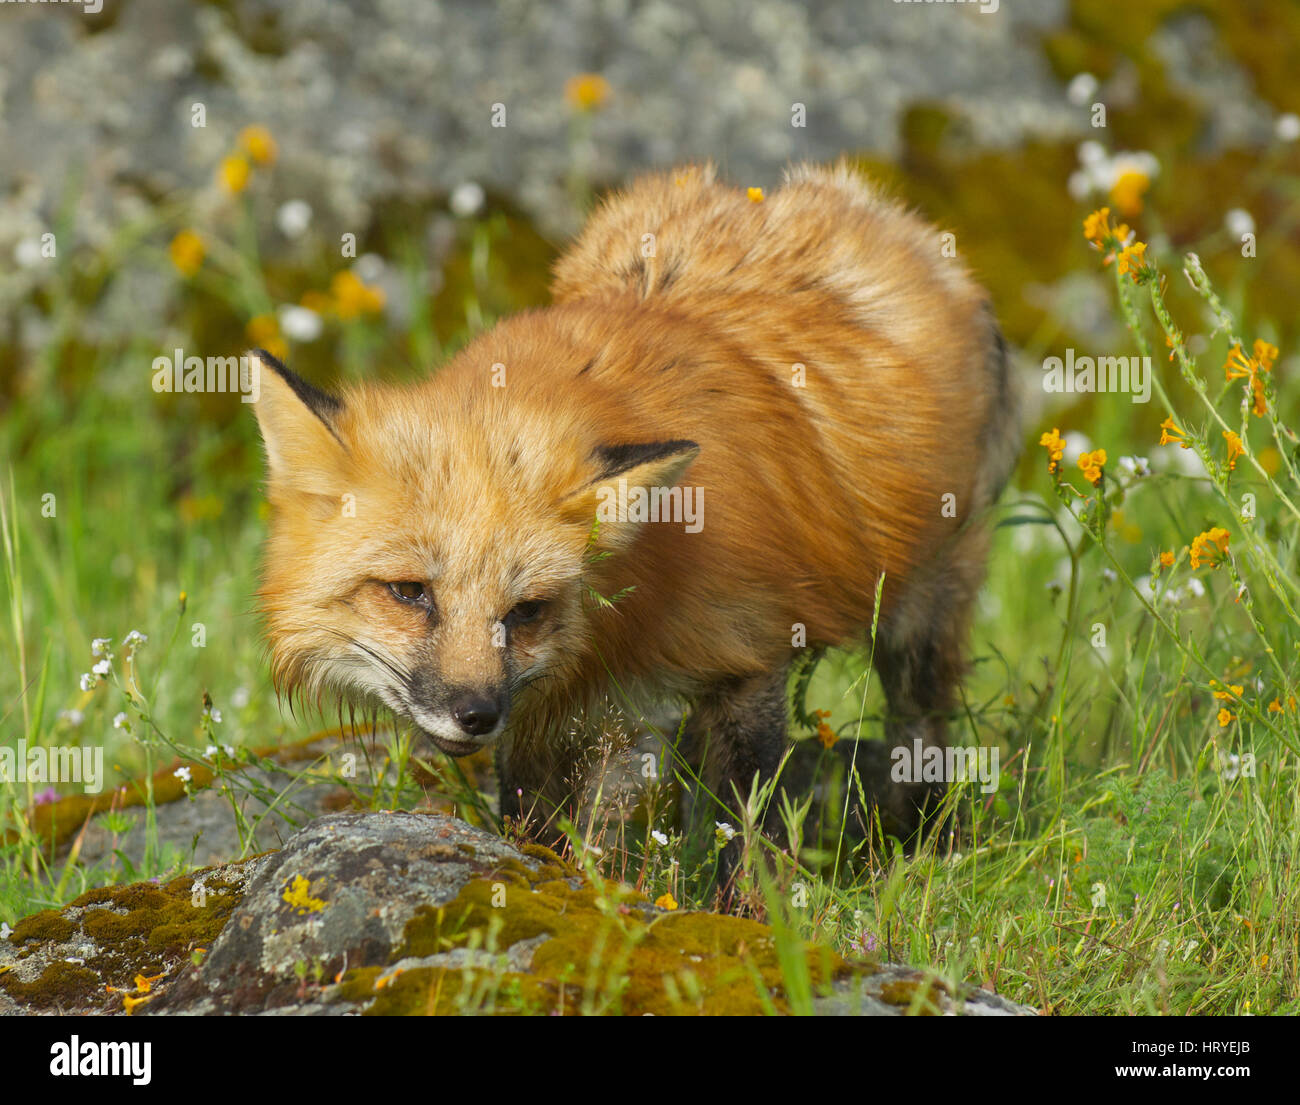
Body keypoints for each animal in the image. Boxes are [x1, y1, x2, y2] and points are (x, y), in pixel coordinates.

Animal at [250, 161, 1020, 856]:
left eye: (525, 610)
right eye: (409, 592)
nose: (476, 714)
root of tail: (871, 206)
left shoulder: (749, 654)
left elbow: (748, 832)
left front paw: (744, 912)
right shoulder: (561, 710)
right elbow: (548, 828)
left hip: (922, 614)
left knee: (921, 733)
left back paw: (921, 842)